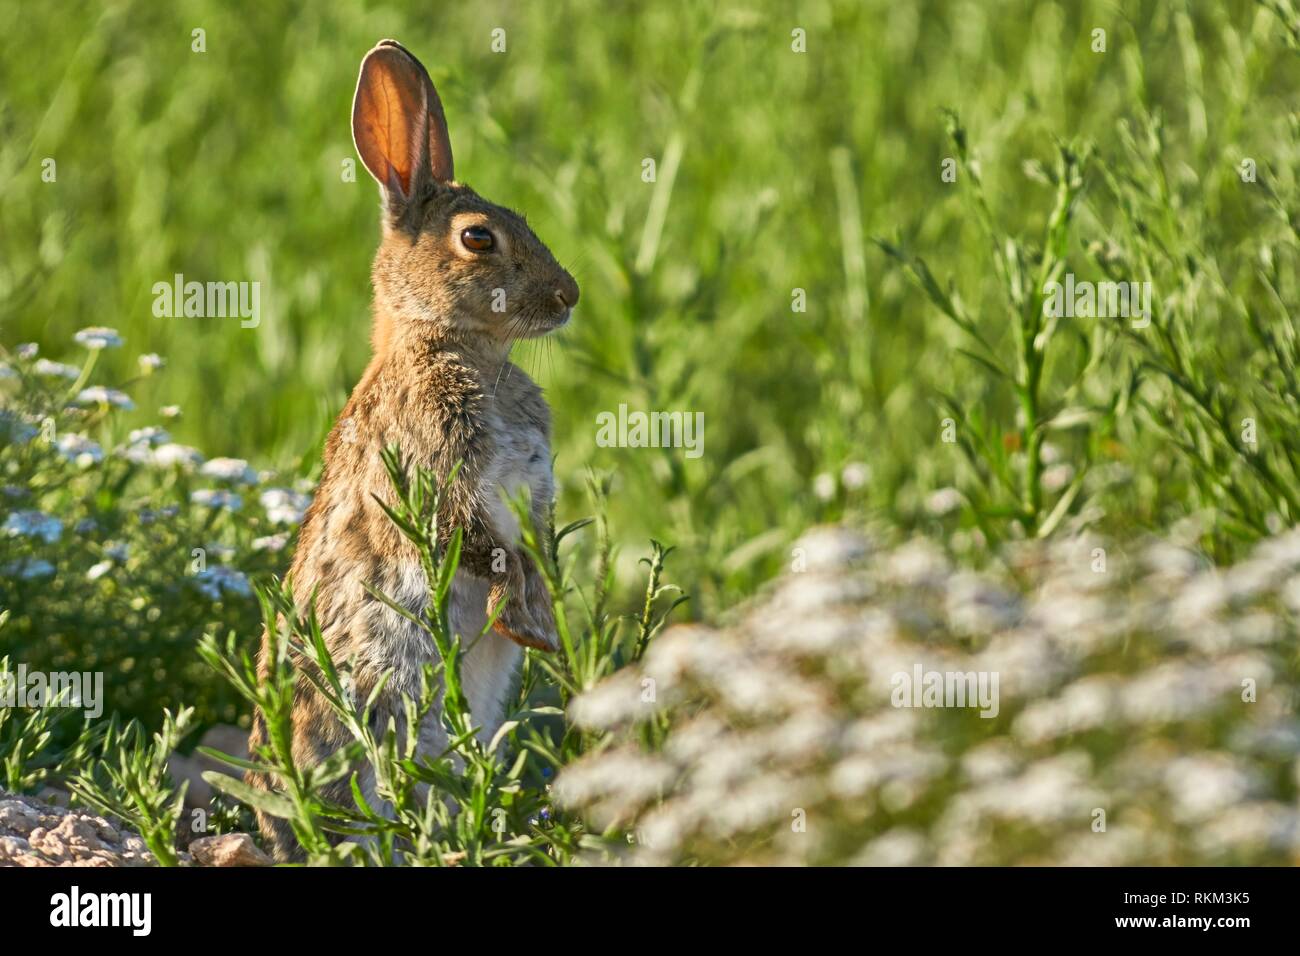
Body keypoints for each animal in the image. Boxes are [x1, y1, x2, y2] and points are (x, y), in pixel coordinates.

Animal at [246, 39, 578, 861]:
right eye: (479, 238)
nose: (569, 296)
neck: (456, 343)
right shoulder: (440, 479)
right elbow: (490, 549)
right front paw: (523, 620)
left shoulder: (535, 495)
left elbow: (535, 546)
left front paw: (543, 619)